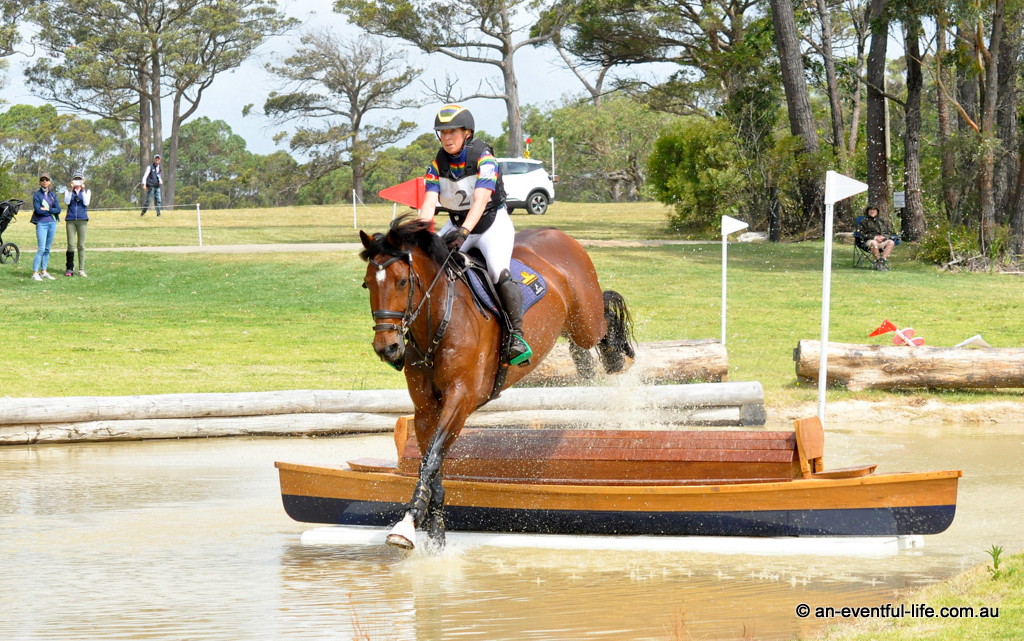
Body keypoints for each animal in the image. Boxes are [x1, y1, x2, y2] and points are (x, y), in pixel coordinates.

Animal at [358, 215, 634, 550]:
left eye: (401, 282)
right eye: (367, 284)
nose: (386, 348)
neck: (439, 322)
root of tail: (559, 234)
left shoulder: (460, 400)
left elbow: (431, 459)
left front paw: (407, 524)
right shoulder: (425, 410)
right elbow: (432, 465)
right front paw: (435, 539)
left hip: (585, 321)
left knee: (603, 318)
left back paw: (616, 358)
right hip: (570, 324)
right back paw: (587, 362)